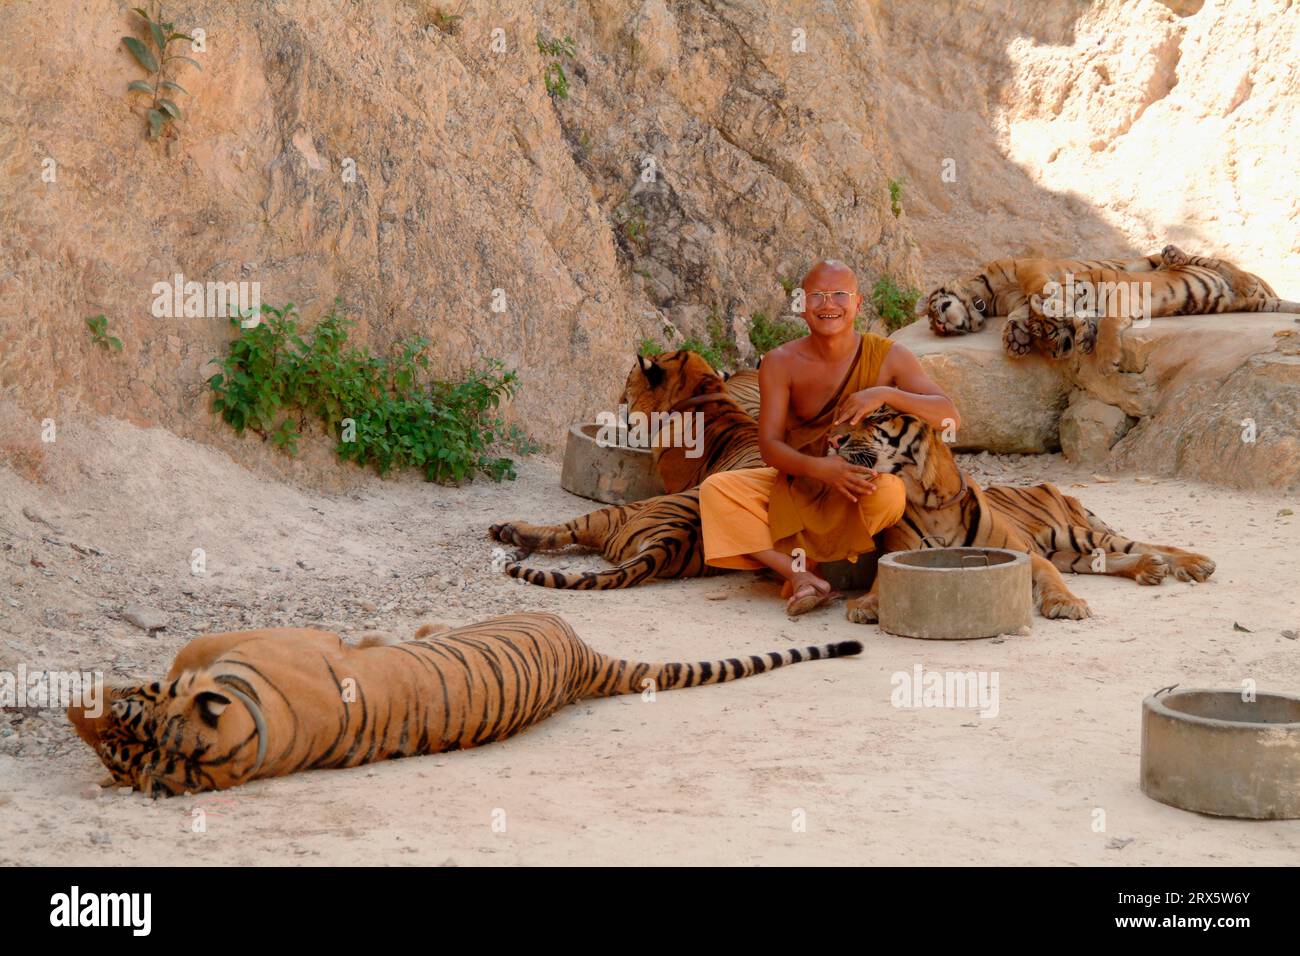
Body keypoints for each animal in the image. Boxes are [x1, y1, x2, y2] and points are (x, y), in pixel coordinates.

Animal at [490, 351, 764, 589]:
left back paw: (506, 529)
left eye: (628, 382)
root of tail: (668, 543)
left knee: (560, 532)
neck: (706, 392)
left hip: (614, 513)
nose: (619, 399)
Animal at [828, 407, 1215, 622]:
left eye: (876, 418)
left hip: (1072, 534)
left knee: (1146, 544)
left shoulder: (1028, 556)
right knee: (1107, 560)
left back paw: (1195, 563)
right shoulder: (896, 555)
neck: (927, 498)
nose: (835, 440)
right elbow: (879, 584)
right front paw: (865, 604)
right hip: (1066, 553)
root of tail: (1052, 487)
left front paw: (1067, 604)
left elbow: (1052, 583)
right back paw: (1149, 569)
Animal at [1023, 244, 1300, 363]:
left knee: (1215, 261)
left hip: (1200, 263)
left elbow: (1109, 324)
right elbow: (1088, 321)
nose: (1053, 355)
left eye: (1044, 332)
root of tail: (1263, 291)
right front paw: (1085, 339)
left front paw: (1106, 360)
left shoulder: (1122, 297)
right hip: (1266, 303)